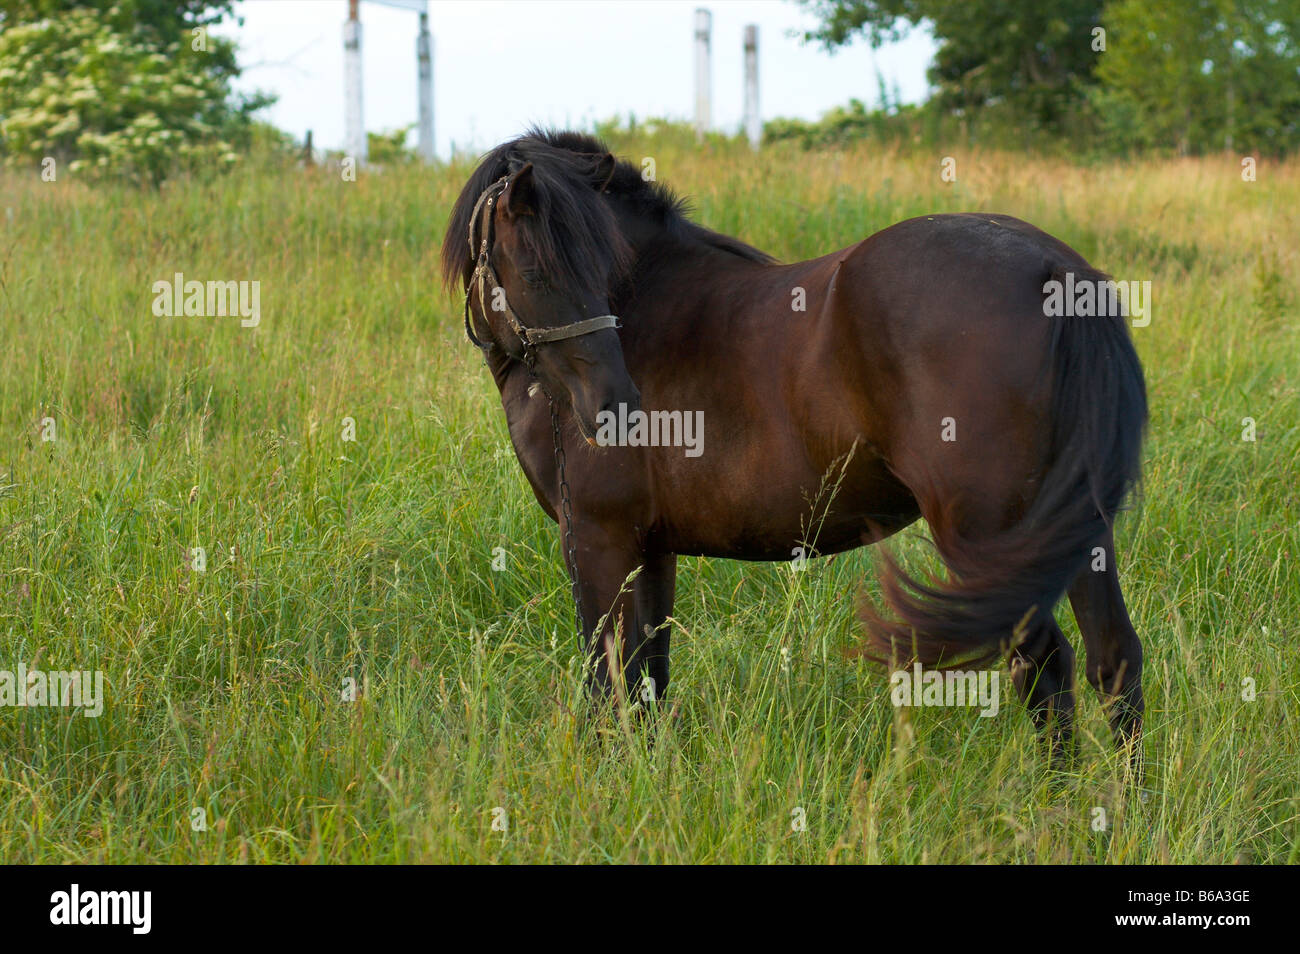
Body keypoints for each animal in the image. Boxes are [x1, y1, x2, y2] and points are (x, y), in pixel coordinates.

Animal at [441, 129, 1148, 765]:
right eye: (537, 270)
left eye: (602, 267)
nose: (616, 406)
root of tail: (1054, 269)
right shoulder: (653, 545)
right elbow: (648, 677)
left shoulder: (597, 537)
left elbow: (606, 676)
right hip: (1073, 532)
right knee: (1112, 659)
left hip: (993, 540)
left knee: (1045, 669)